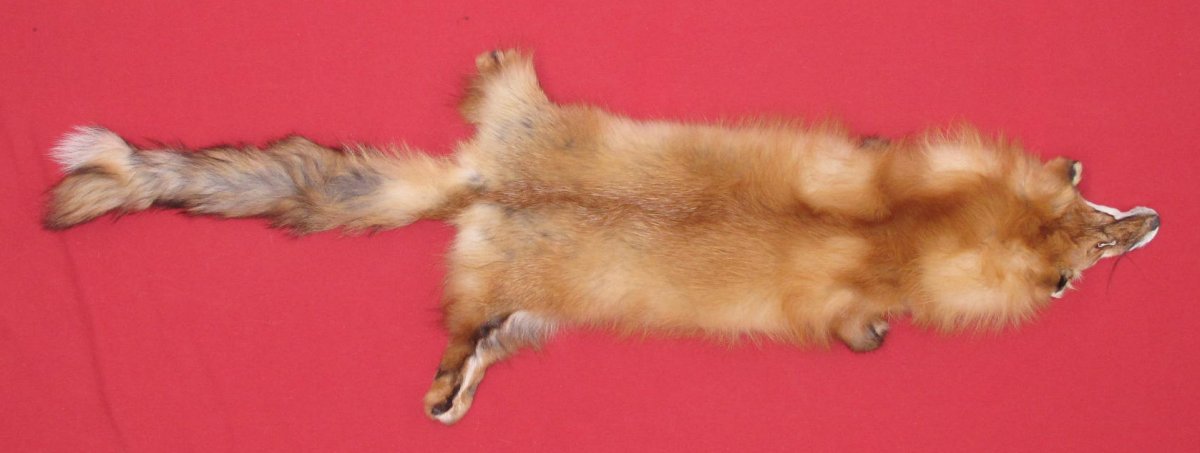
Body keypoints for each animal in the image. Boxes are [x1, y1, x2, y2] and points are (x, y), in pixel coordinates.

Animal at [44, 49, 1161, 425]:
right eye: (1072, 275)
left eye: (1095, 210)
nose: (1152, 222)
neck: (889, 223)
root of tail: (482, 184)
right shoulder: (855, 286)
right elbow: (859, 329)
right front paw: (876, 339)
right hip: (497, 295)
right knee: (460, 333)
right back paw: (445, 388)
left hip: (529, 280)